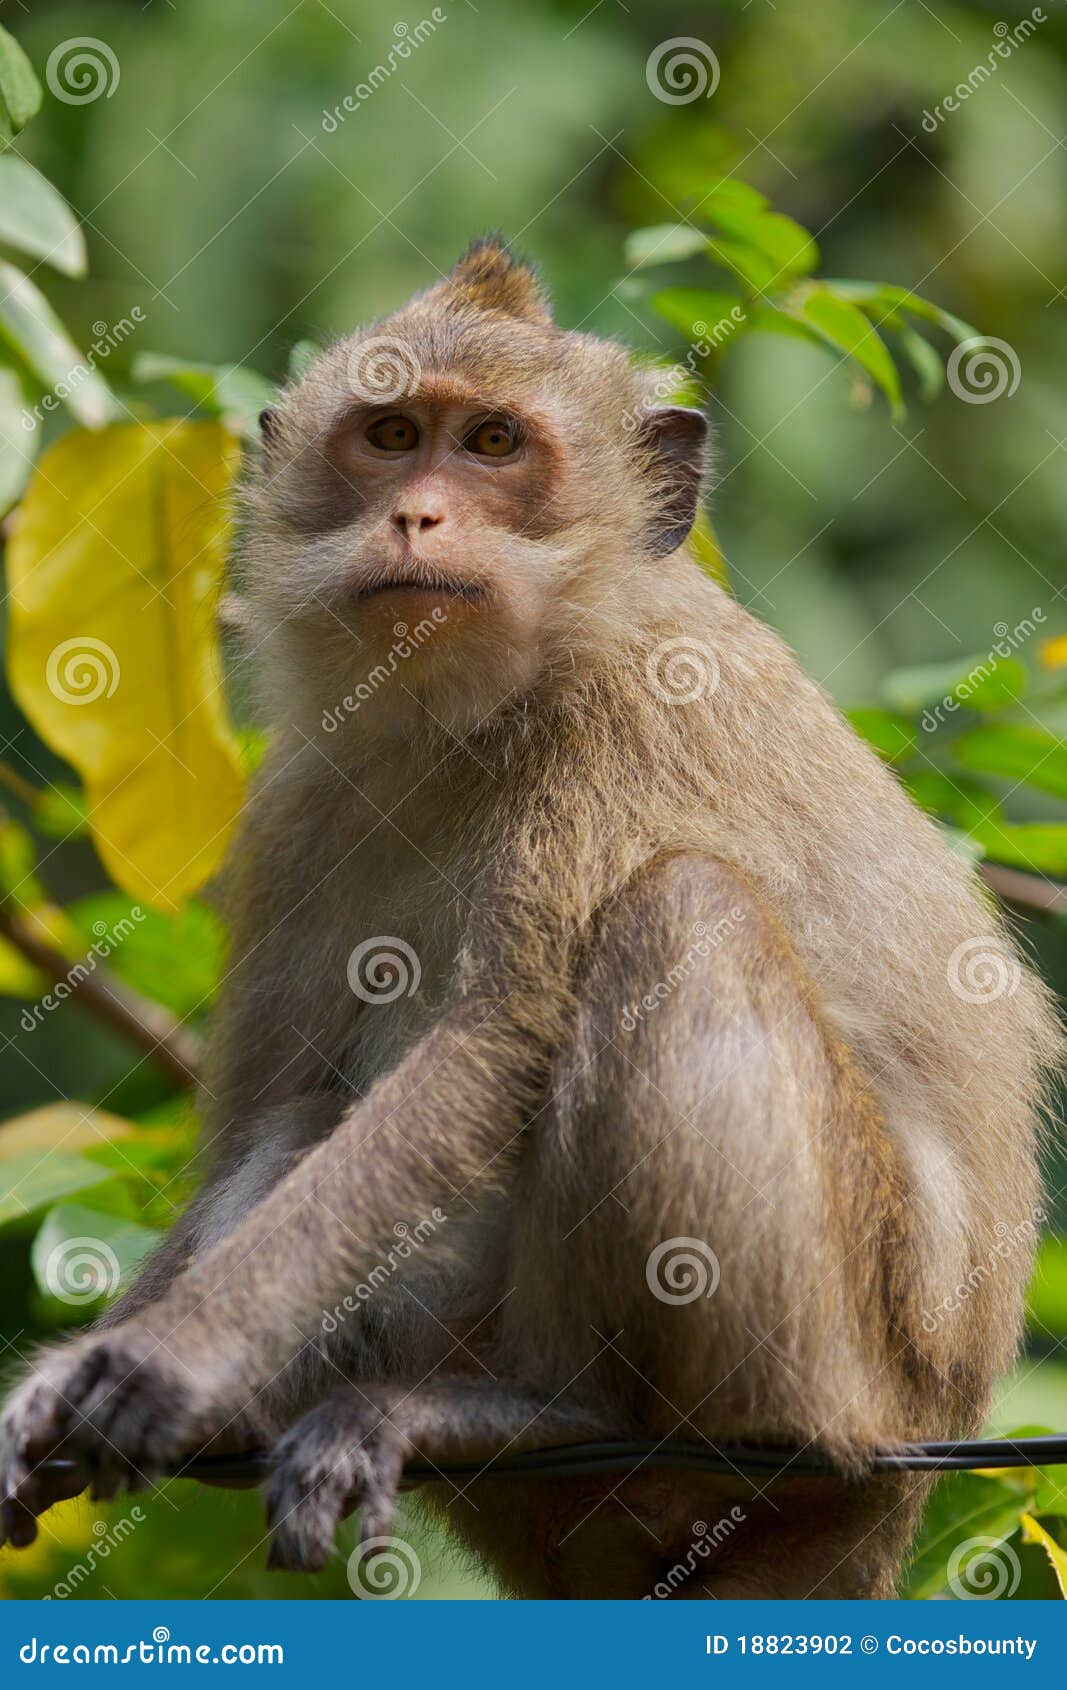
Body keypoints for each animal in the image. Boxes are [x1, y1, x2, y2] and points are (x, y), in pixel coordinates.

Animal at [0, 237, 1060, 1599]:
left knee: (683, 912)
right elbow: (273, 1106)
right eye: (391, 435)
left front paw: (176, 1354)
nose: (416, 513)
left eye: (495, 443)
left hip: (859, 1359)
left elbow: (487, 1049)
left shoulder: (614, 725)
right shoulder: (294, 798)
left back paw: (568, 1414)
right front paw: (67, 1388)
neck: (469, 720)